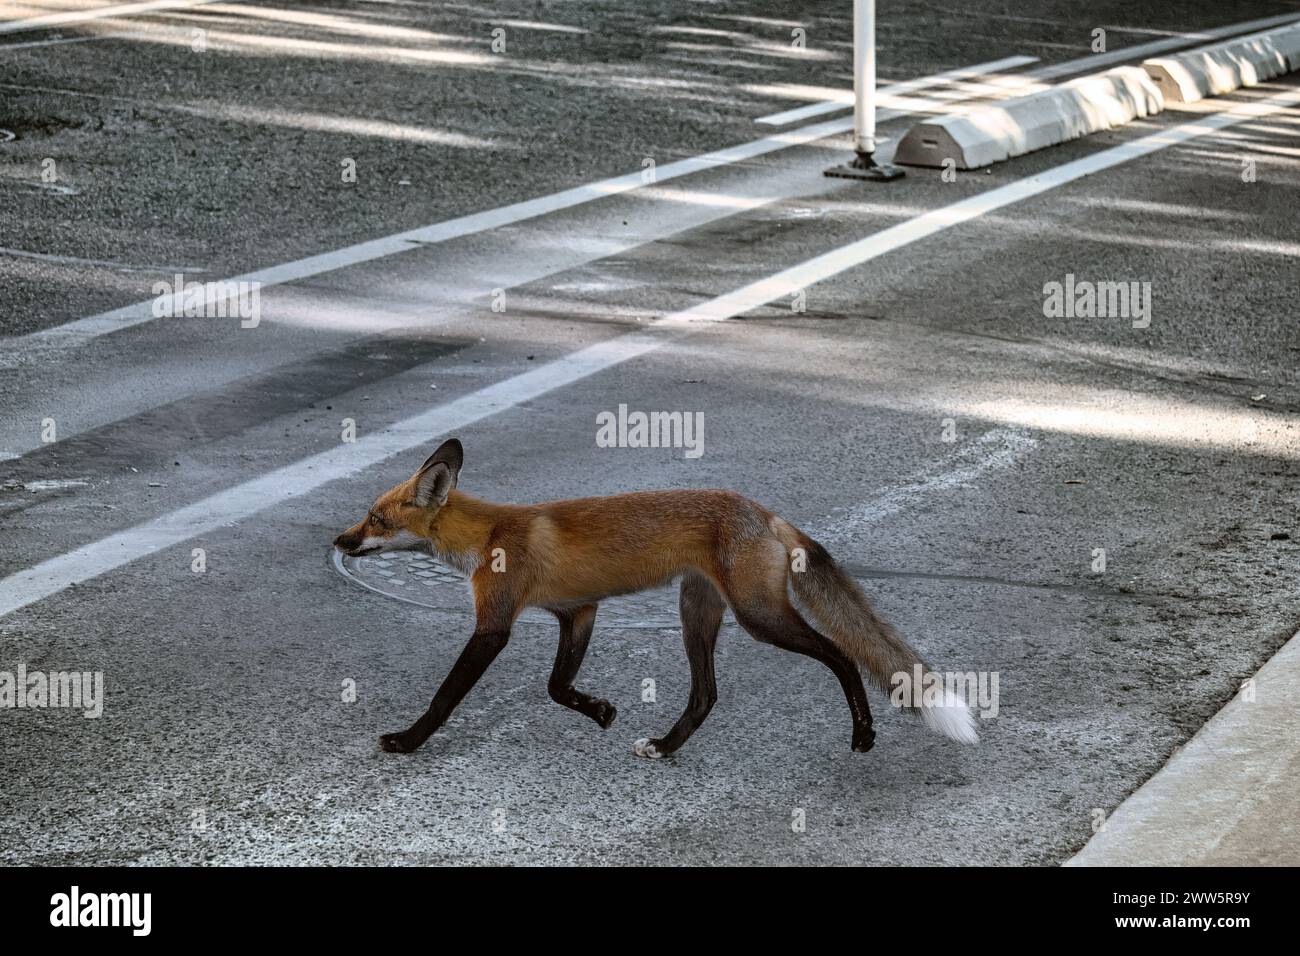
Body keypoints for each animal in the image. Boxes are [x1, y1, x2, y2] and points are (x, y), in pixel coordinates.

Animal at [333, 438, 977, 758]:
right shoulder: (578, 611)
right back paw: (667, 746)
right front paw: (600, 711)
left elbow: (445, 697)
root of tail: (764, 512)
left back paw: (863, 735)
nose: (339, 541)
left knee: (842, 656)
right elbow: (557, 686)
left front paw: (407, 742)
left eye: (375, 520)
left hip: (759, 617)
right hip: (696, 616)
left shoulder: (494, 624)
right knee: (706, 695)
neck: (489, 535)